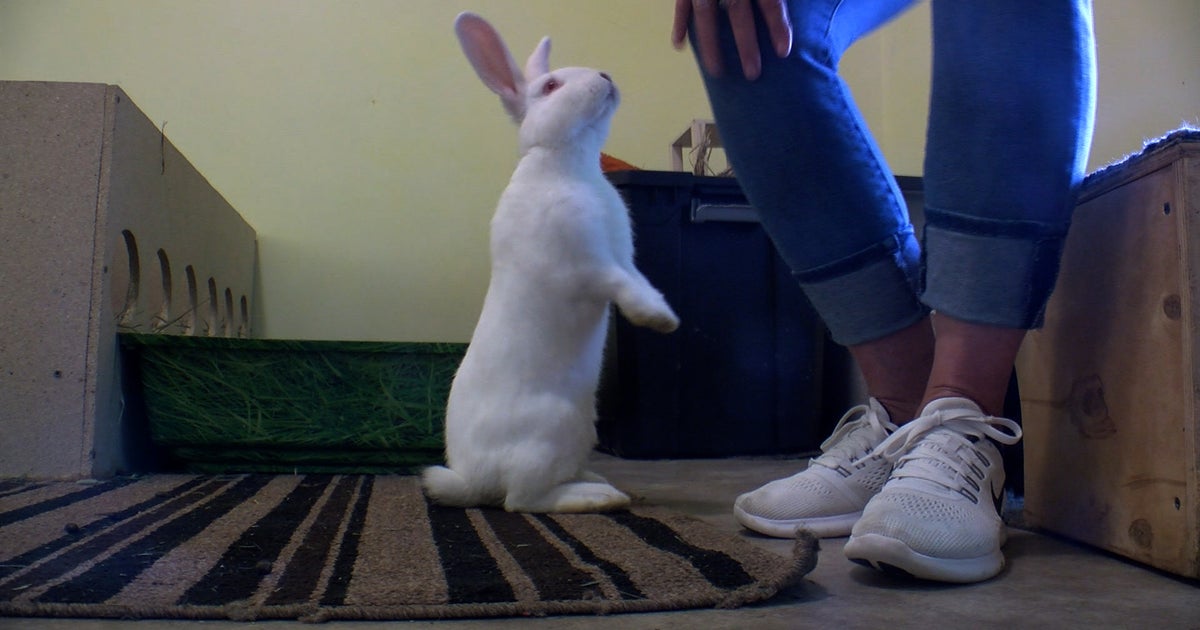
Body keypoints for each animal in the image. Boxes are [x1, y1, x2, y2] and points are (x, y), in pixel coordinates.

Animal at [421, 12, 679, 513]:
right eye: (551, 86)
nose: (605, 76)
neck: (568, 162)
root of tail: (472, 479)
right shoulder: (582, 265)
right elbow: (618, 285)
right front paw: (658, 321)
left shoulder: (623, 257)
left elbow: (639, 281)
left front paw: (663, 311)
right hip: (550, 432)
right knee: (521, 500)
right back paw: (599, 497)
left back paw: (599, 481)